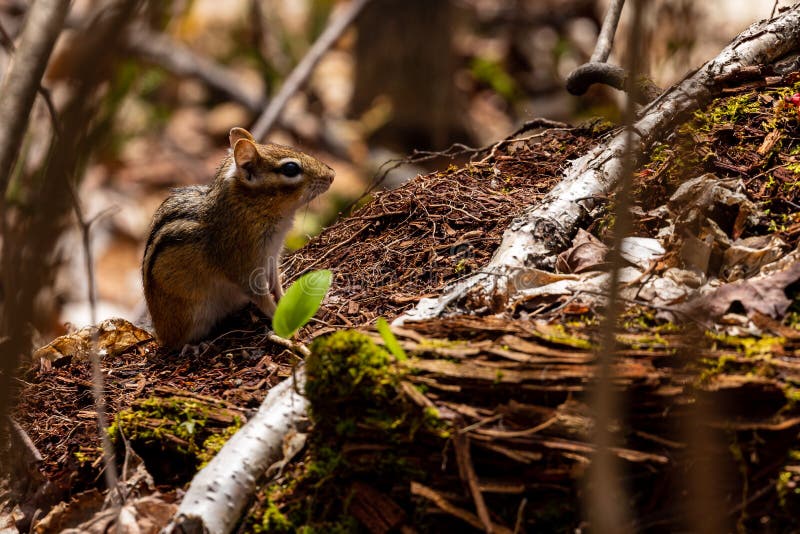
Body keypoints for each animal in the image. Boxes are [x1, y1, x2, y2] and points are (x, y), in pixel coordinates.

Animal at [142, 127, 335, 349]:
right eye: (290, 169)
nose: (332, 174)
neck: (248, 207)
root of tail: (159, 328)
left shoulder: (272, 255)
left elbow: (276, 282)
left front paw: (285, 297)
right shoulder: (244, 267)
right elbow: (262, 298)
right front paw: (284, 322)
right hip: (189, 316)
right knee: (174, 342)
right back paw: (192, 346)